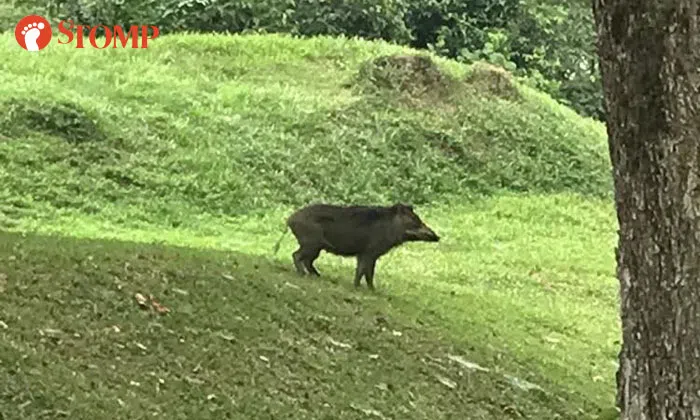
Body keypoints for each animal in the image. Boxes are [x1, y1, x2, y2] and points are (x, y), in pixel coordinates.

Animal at [279, 203, 440, 290]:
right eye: (414, 220)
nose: (437, 237)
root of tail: (289, 220)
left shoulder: (366, 254)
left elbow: (364, 271)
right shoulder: (369, 252)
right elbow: (365, 272)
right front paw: (368, 289)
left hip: (316, 247)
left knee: (307, 260)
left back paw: (317, 276)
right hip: (312, 243)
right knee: (297, 255)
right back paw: (303, 274)